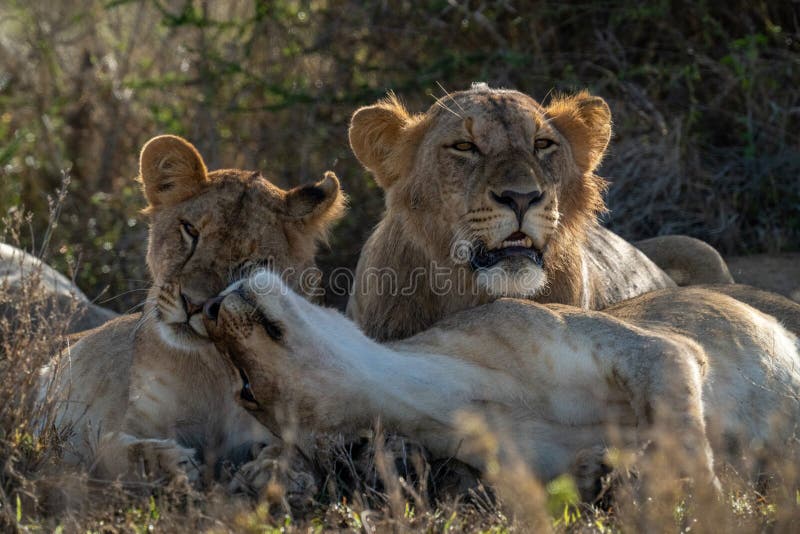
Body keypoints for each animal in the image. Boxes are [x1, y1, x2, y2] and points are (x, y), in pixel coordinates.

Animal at [40, 135, 346, 483]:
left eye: (251, 262)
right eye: (190, 230)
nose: (194, 303)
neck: (211, 370)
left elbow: (297, 456)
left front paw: (272, 472)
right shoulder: (125, 422)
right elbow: (114, 449)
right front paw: (174, 463)